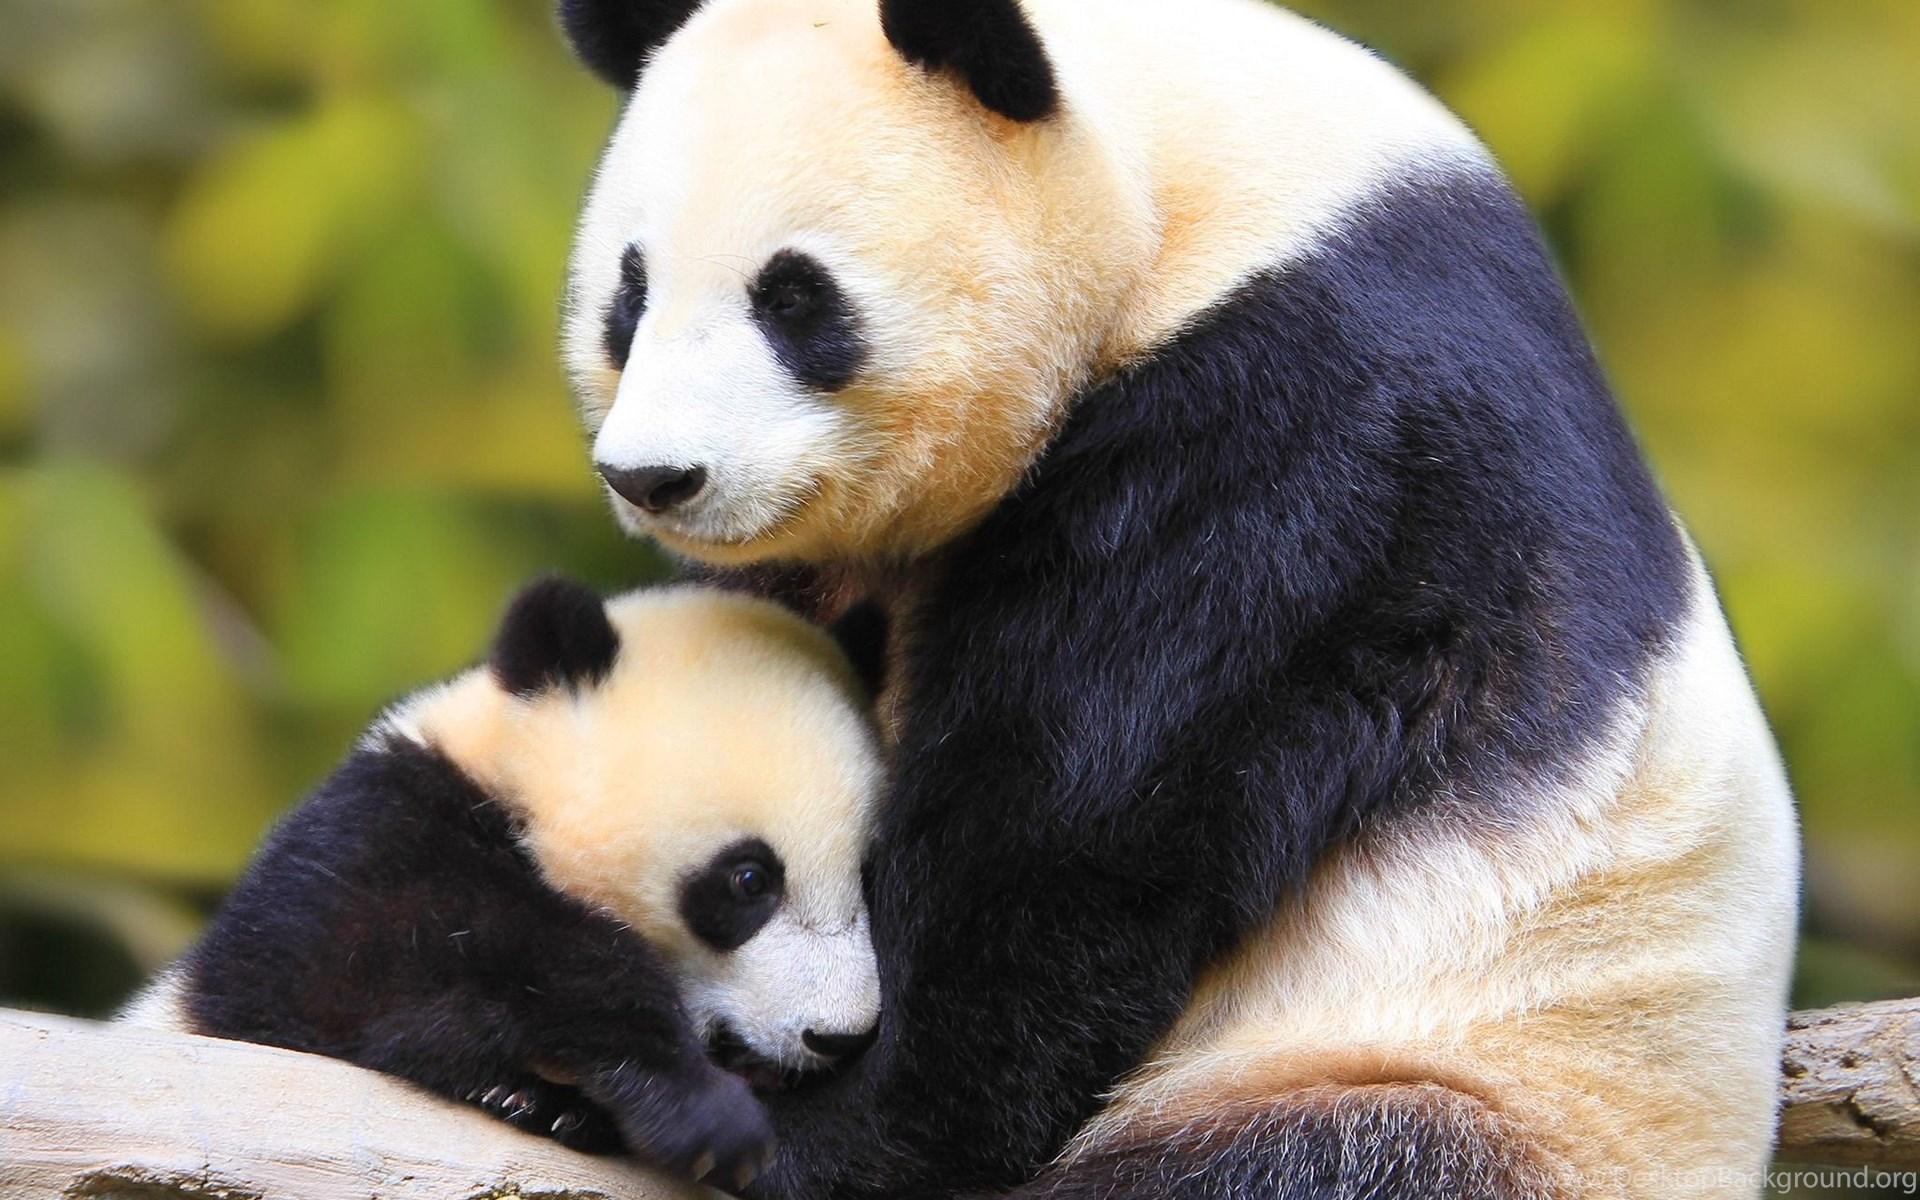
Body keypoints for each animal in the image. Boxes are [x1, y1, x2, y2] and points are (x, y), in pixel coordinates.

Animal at [121, 578, 887, 1192]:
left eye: (865, 873)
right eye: (749, 881)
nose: (838, 1036)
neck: (510, 787)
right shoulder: (362, 847)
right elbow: (382, 970)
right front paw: (698, 1109)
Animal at [555, 2, 1800, 1199]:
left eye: (795, 298)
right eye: (630, 292)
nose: (655, 476)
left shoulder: (1298, 430)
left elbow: (1069, 838)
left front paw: (791, 1126)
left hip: (1469, 1076)